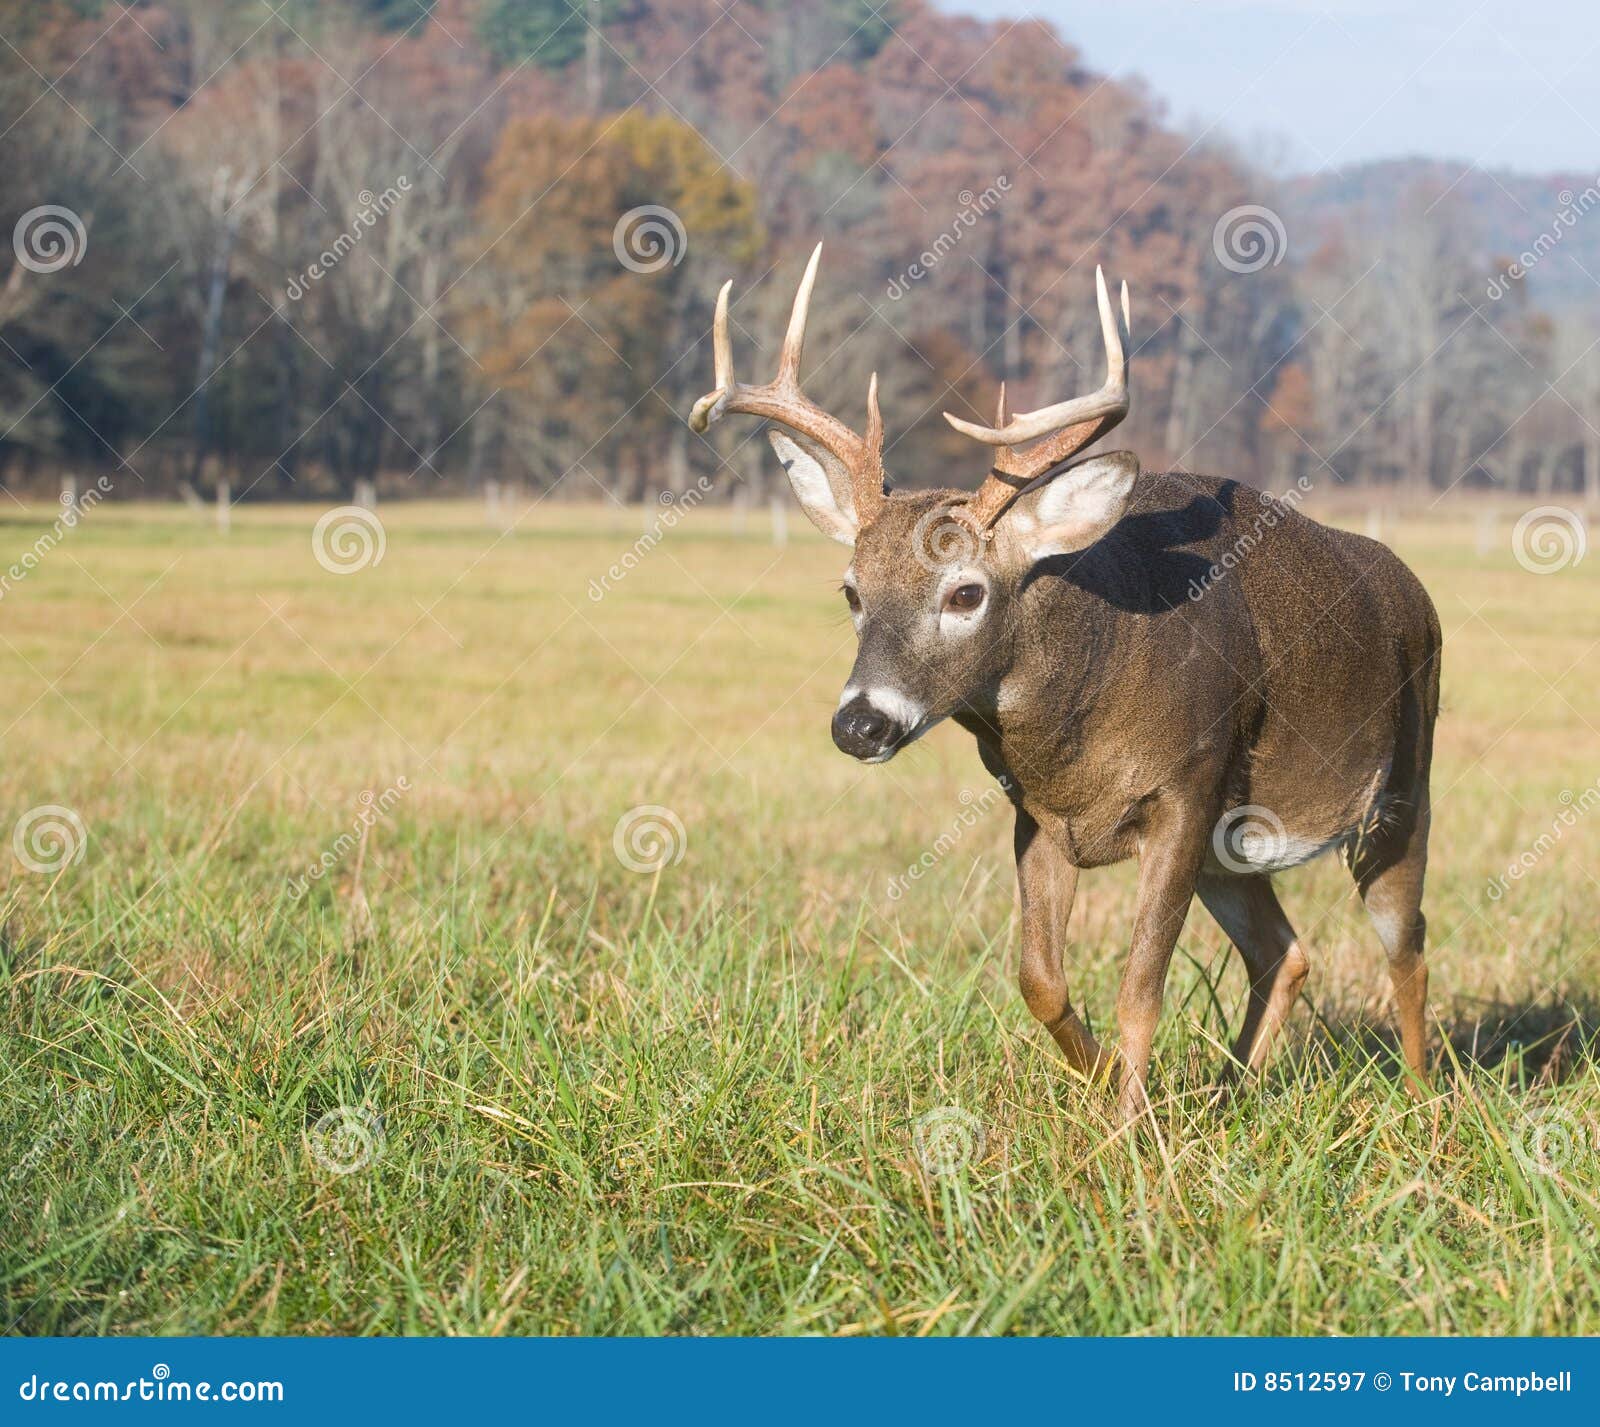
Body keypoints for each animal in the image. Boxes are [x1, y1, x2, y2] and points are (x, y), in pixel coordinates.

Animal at [688, 245, 1442, 1124]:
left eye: (966, 592)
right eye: (851, 591)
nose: (859, 724)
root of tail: (1414, 589)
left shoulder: (1186, 791)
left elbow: (1140, 988)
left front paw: (1125, 1133)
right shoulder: (1039, 816)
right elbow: (1039, 980)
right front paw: (1106, 1081)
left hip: (1401, 789)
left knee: (1407, 946)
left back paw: (1425, 1108)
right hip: (1234, 851)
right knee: (1285, 953)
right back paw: (1226, 1094)